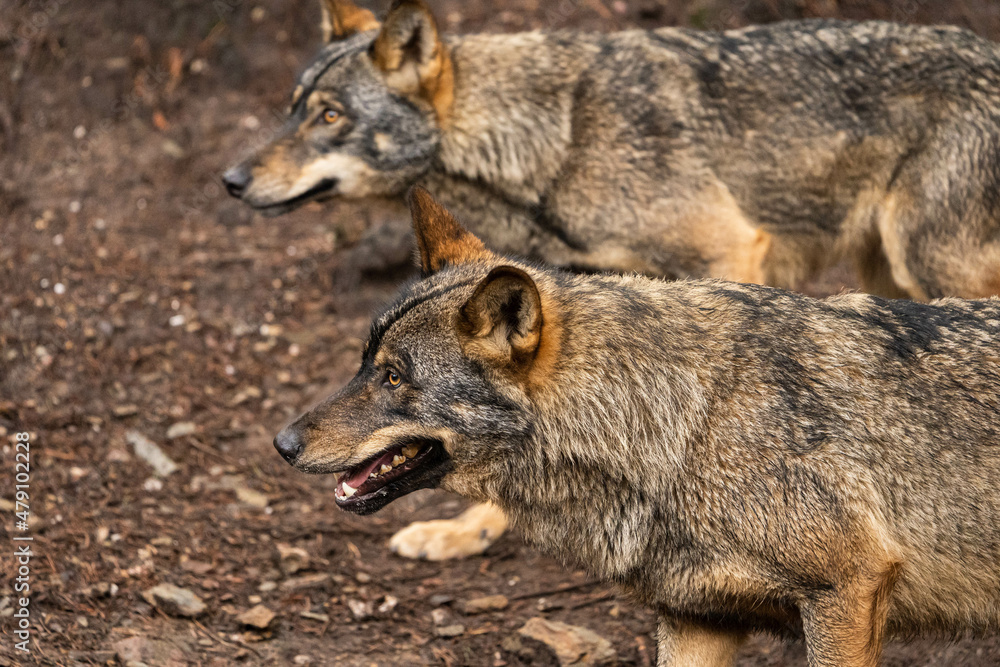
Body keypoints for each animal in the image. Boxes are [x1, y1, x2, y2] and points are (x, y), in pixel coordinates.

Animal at [227, 0, 1000, 559]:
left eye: (331, 116)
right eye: (293, 108)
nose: (231, 180)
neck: (555, 143)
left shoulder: (731, 253)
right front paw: (469, 531)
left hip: (927, 265)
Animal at [274, 188, 1000, 666]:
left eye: (395, 377)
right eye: (365, 362)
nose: (282, 443)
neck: (678, 427)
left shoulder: (847, 589)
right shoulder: (695, 618)